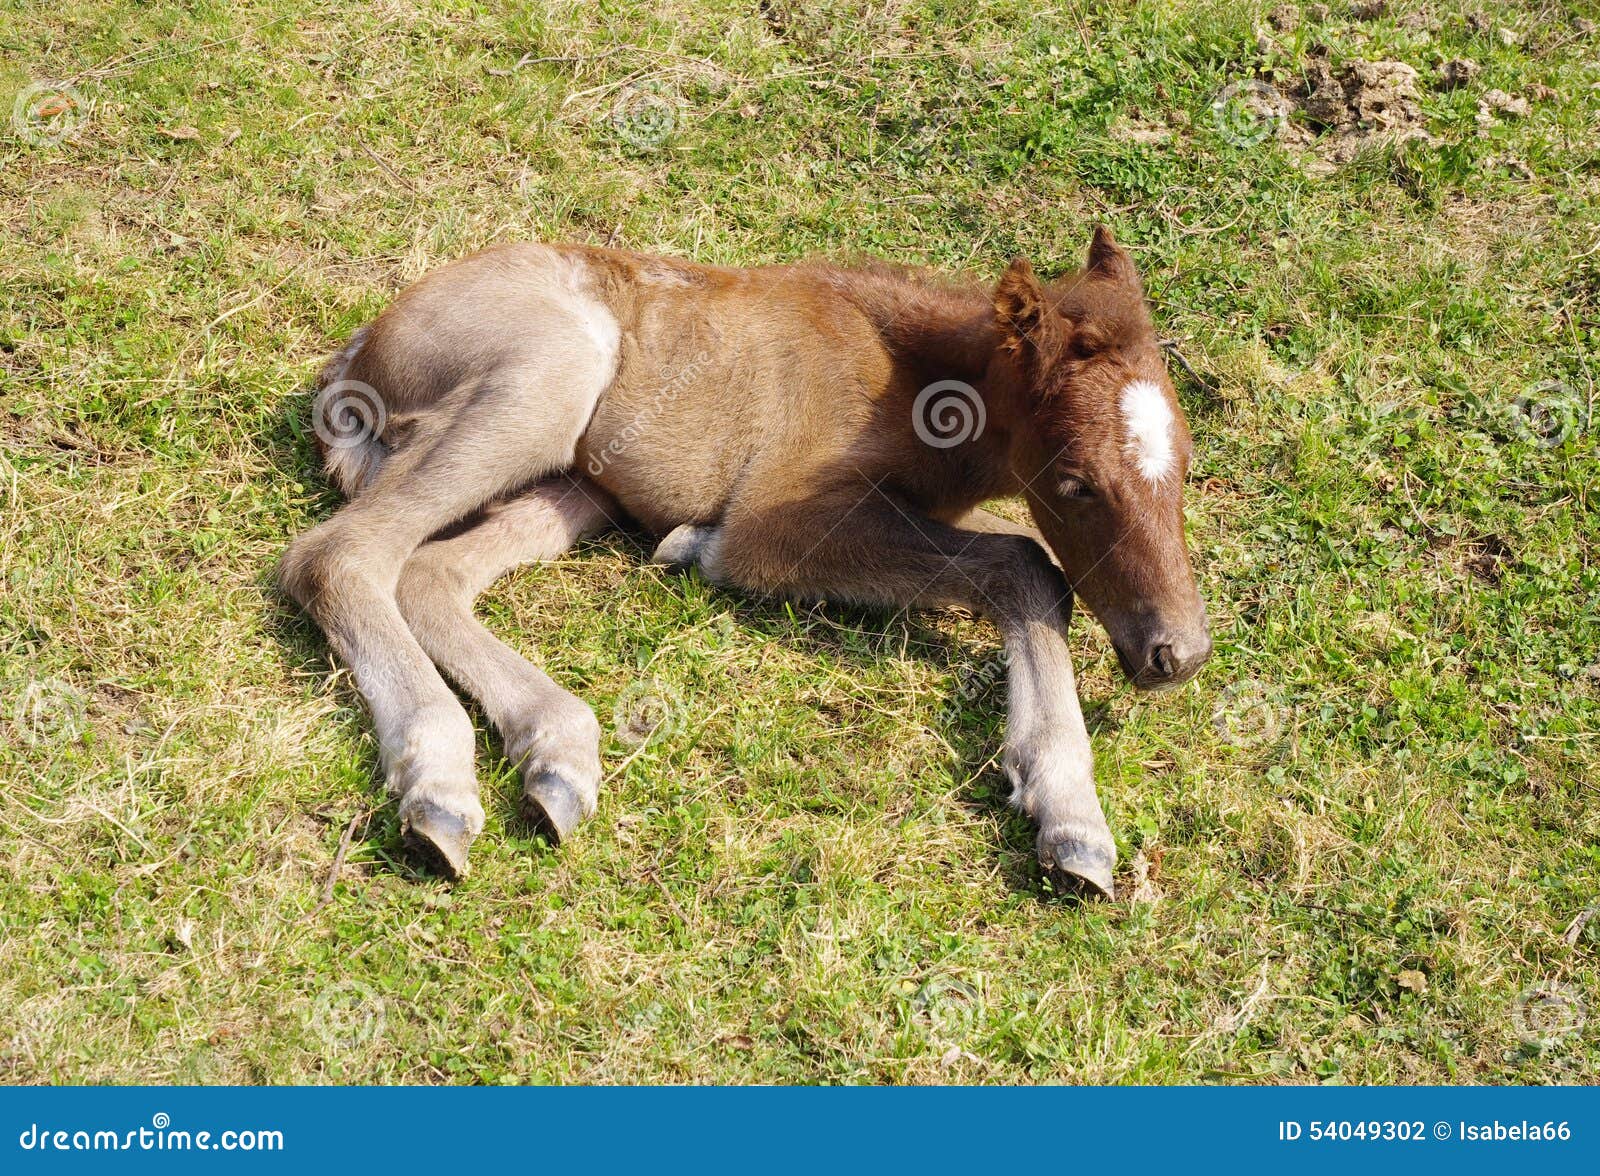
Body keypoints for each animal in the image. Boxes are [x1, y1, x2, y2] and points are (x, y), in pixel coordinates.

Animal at [278, 226, 1212, 900]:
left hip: (578, 481)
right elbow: (1027, 562)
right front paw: (1073, 816)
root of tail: (355, 359)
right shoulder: (774, 520)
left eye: (1186, 462)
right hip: (550, 374)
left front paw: (1074, 821)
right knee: (338, 556)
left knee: (429, 575)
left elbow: (1033, 566)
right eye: (1075, 482)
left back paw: (557, 757)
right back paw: (438, 784)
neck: (911, 379)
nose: (1178, 652)